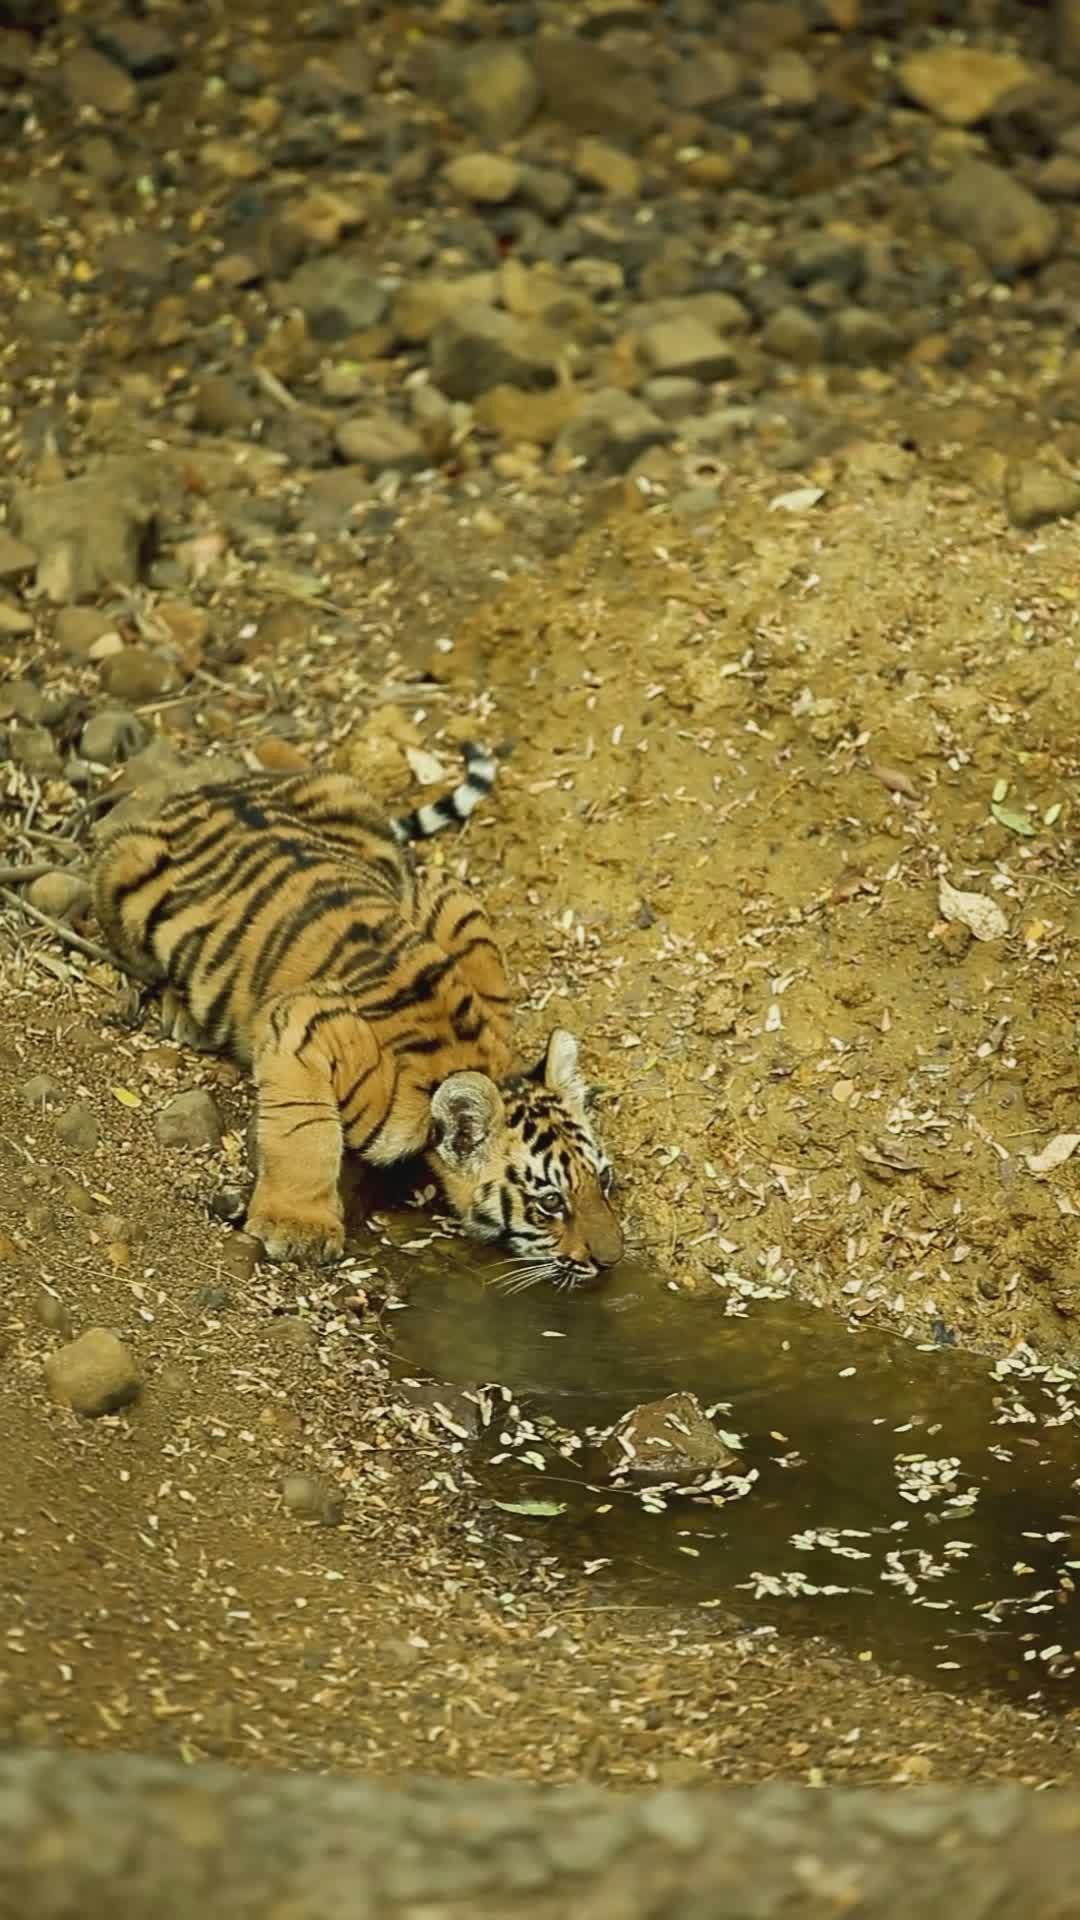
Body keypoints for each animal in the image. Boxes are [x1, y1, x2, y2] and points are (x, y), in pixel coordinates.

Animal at [90, 743, 624, 1286]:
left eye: (603, 1178)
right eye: (550, 1202)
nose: (611, 1259)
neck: (478, 1061)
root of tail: (204, 792)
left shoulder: (445, 897)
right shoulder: (306, 1024)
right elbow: (306, 1130)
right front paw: (298, 1228)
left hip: (350, 796)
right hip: (121, 870)